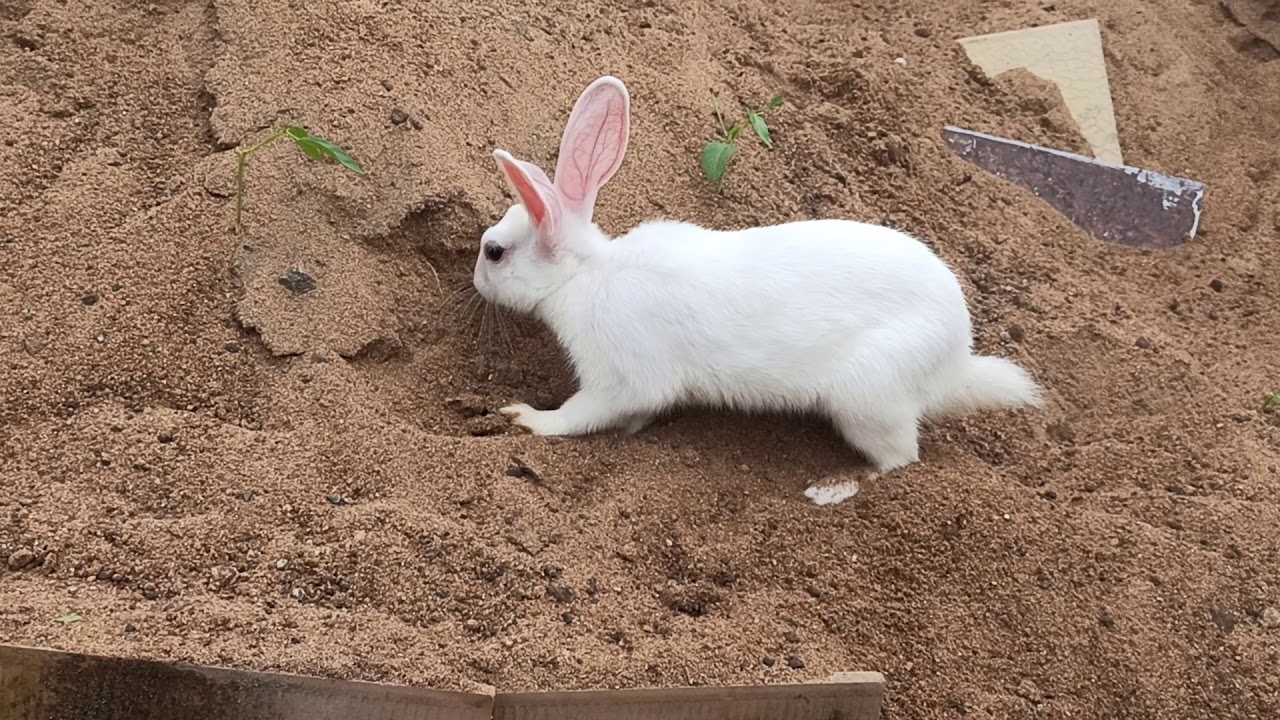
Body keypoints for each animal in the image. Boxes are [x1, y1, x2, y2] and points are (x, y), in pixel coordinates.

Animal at [473, 75, 1043, 502]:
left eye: (494, 251)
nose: (475, 280)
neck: (586, 275)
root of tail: (955, 363)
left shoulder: (617, 379)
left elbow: (579, 416)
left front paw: (526, 418)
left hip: (868, 399)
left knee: (900, 459)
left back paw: (832, 487)